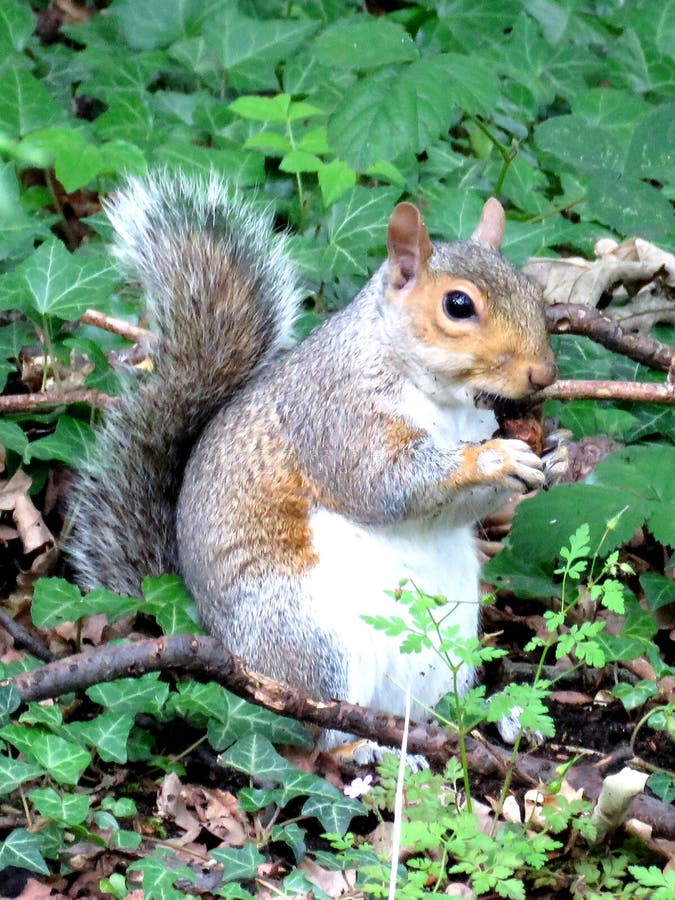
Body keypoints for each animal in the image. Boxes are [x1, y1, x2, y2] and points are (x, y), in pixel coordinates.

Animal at [67, 172, 558, 748]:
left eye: (534, 292)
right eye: (458, 305)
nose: (543, 374)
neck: (445, 402)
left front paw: (556, 453)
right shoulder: (335, 416)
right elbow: (384, 482)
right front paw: (494, 460)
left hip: (450, 642)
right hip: (310, 638)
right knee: (317, 733)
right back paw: (364, 750)